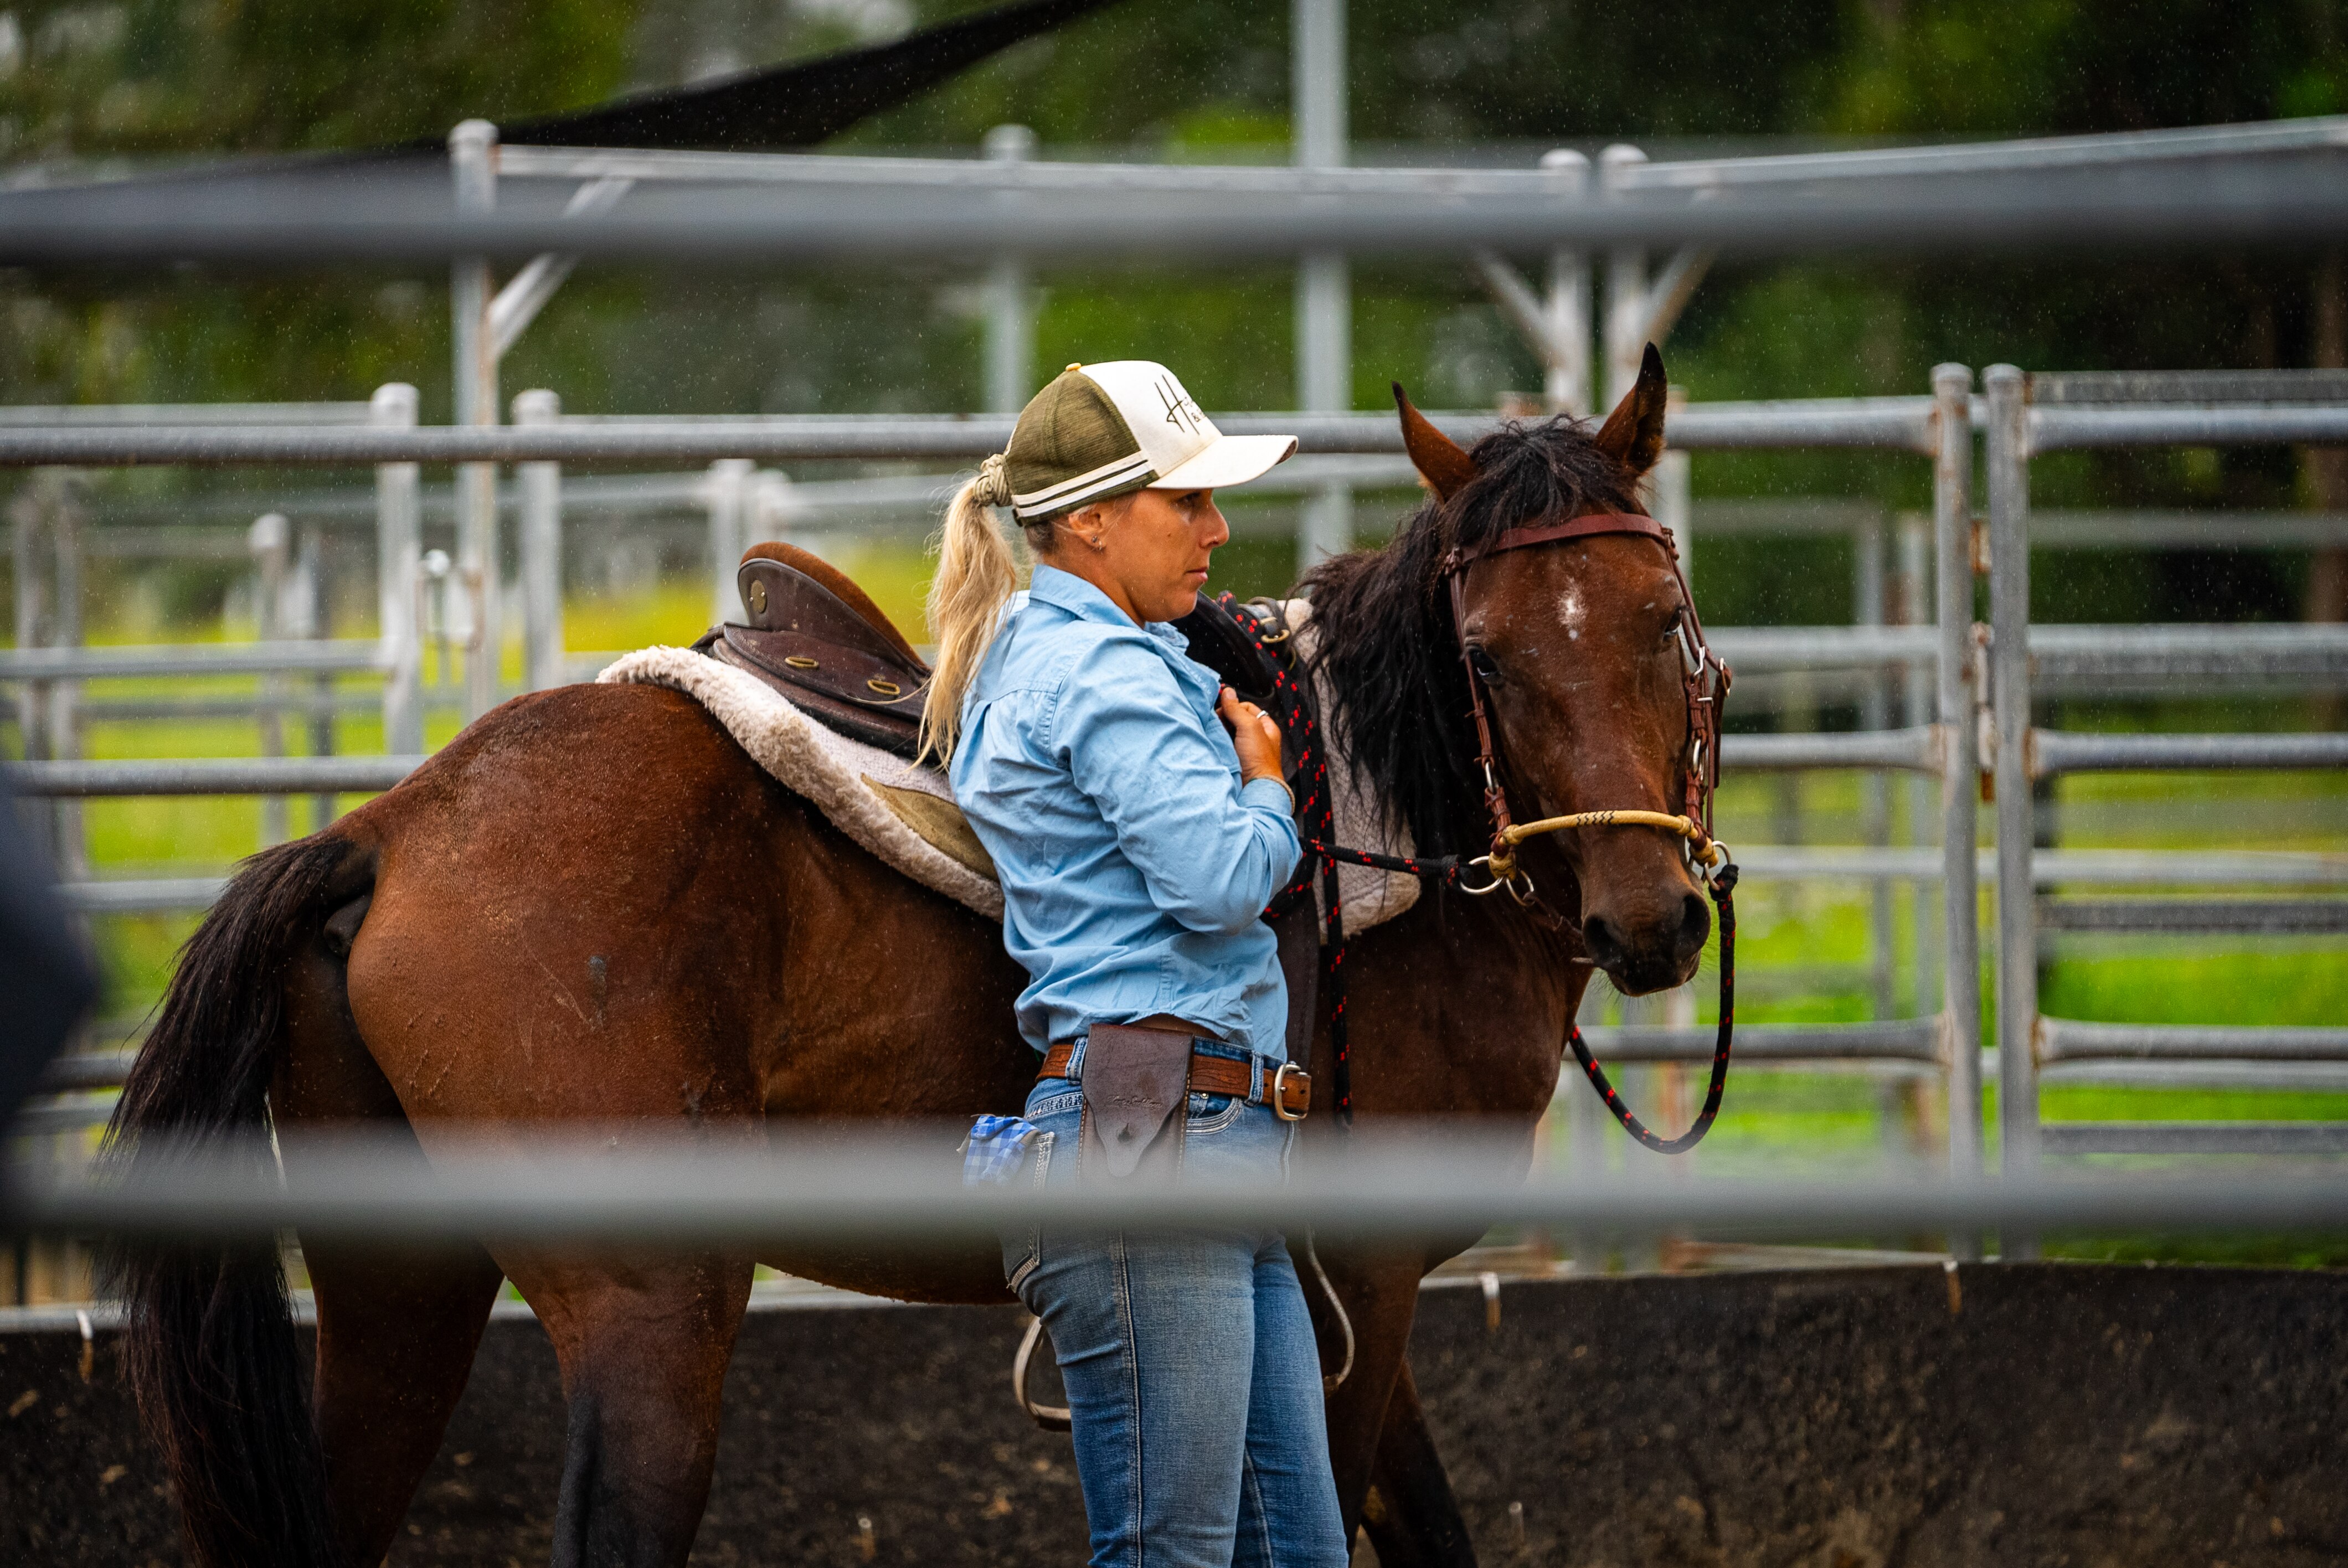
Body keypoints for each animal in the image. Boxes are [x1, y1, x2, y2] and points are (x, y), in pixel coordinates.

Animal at [103, 347, 1713, 1568]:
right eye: (1486, 657)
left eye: (1666, 618)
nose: (1649, 919)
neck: (1388, 832)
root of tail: (389, 831)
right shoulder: (1364, 1290)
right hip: (651, 1303)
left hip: (401, 1295)